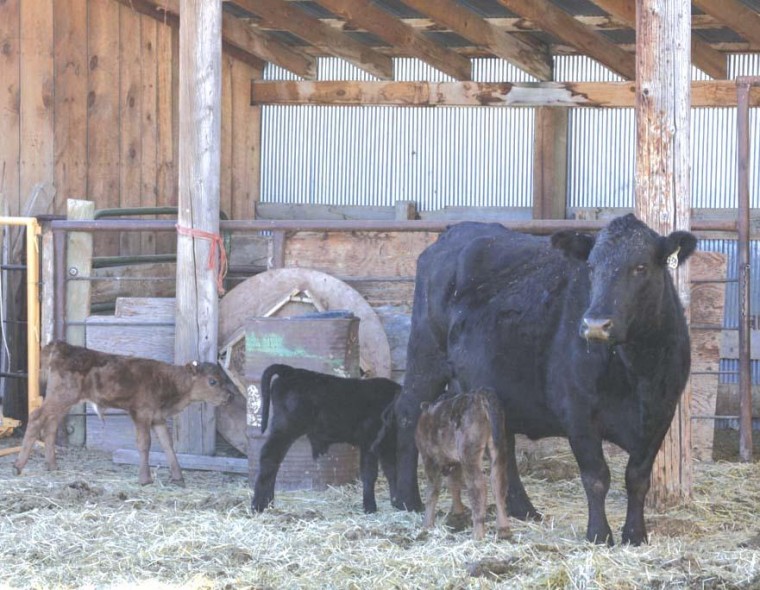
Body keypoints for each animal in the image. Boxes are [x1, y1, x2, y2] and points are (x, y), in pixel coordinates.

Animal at [13, 341, 237, 486]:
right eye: (212, 381)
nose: (229, 396)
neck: (168, 384)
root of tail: (63, 346)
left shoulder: (158, 417)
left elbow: (167, 445)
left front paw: (178, 476)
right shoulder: (142, 413)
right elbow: (144, 444)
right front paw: (145, 479)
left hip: (62, 399)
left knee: (50, 424)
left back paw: (51, 465)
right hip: (62, 395)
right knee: (36, 417)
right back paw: (18, 465)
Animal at [251, 363, 400, 514]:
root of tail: (291, 371)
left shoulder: (385, 446)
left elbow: (391, 470)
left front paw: (397, 503)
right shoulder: (371, 442)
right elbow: (370, 474)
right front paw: (370, 507)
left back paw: (269, 503)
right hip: (285, 428)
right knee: (269, 457)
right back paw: (259, 505)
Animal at [415, 388, 511, 541]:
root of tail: (480, 395)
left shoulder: (429, 458)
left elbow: (432, 490)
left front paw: (427, 524)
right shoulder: (455, 462)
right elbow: (453, 484)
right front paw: (458, 513)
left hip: (469, 451)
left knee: (478, 487)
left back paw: (477, 534)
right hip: (498, 446)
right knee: (498, 483)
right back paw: (504, 529)